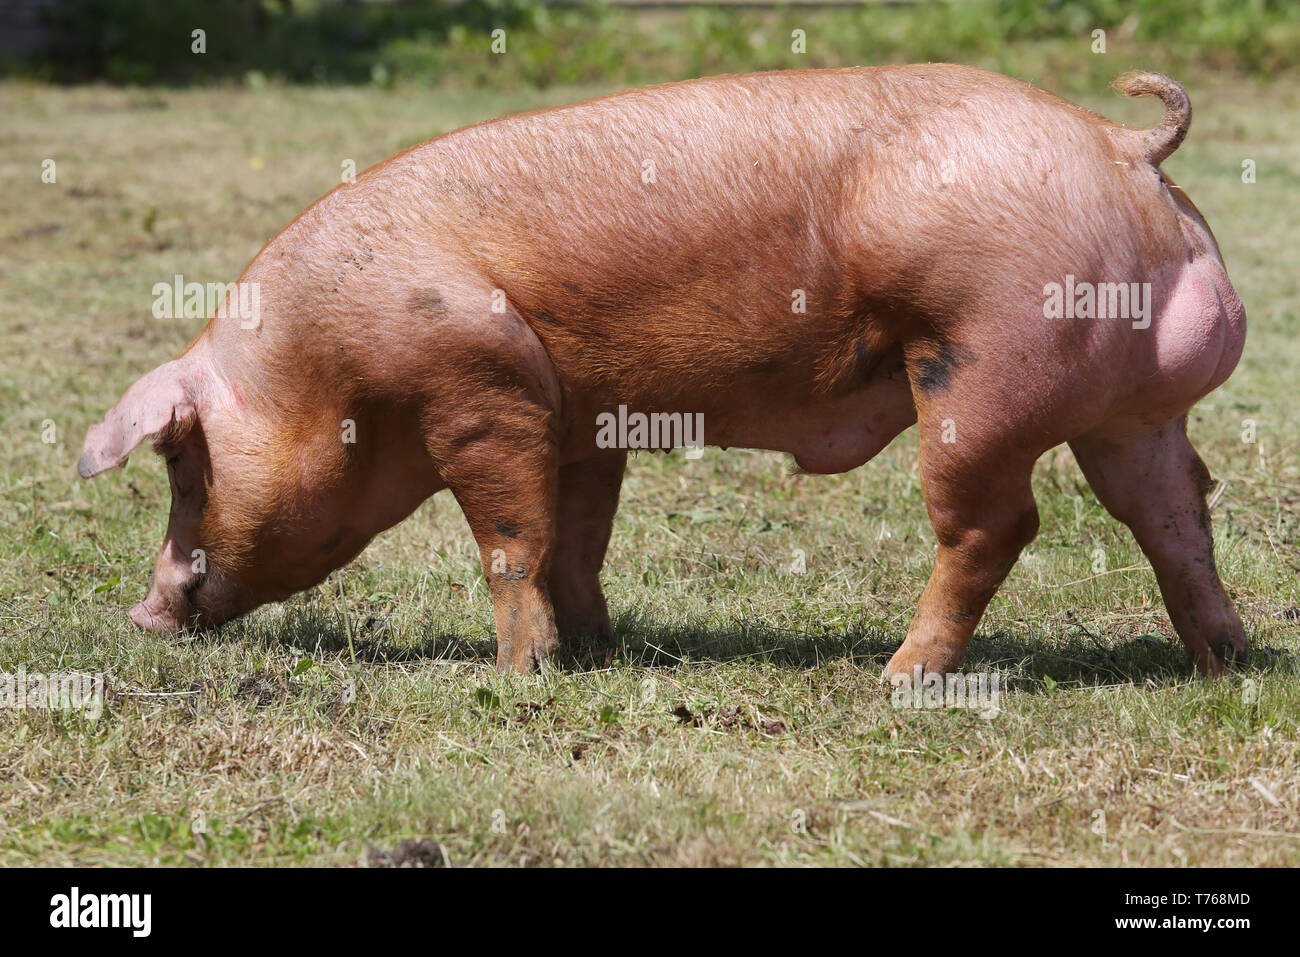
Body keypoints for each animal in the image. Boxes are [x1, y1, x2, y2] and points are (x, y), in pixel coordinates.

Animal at [79, 65, 1247, 677]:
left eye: (182, 463)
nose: (141, 614)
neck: (325, 369)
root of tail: (1122, 146)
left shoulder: (480, 390)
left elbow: (512, 540)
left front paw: (520, 674)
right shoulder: (580, 417)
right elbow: (577, 536)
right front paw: (595, 645)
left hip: (981, 370)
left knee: (999, 526)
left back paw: (897, 677)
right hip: (1130, 409)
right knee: (1173, 509)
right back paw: (1223, 658)